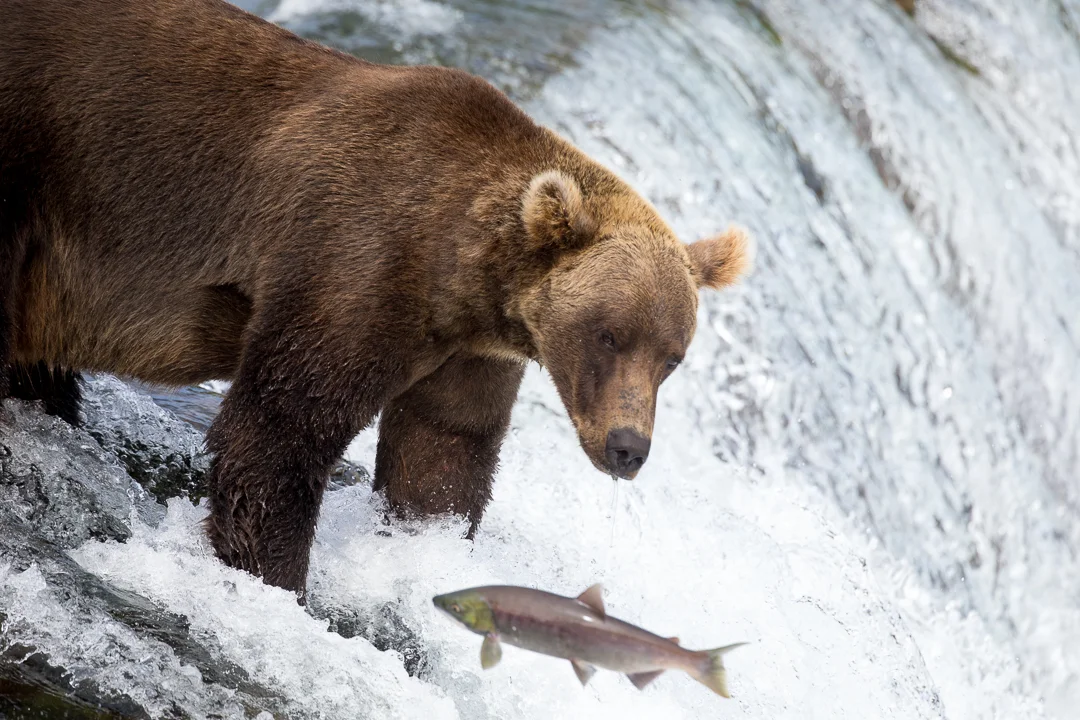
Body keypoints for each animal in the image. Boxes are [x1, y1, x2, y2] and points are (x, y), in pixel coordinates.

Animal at [0, 0, 750, 598]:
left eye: (673, 358)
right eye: (608, 334)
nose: (628, 447)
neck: (460, 266)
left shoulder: (470, 347)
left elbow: (443, 456)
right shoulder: (355, 260)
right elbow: (279, 430)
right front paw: (277, 582)